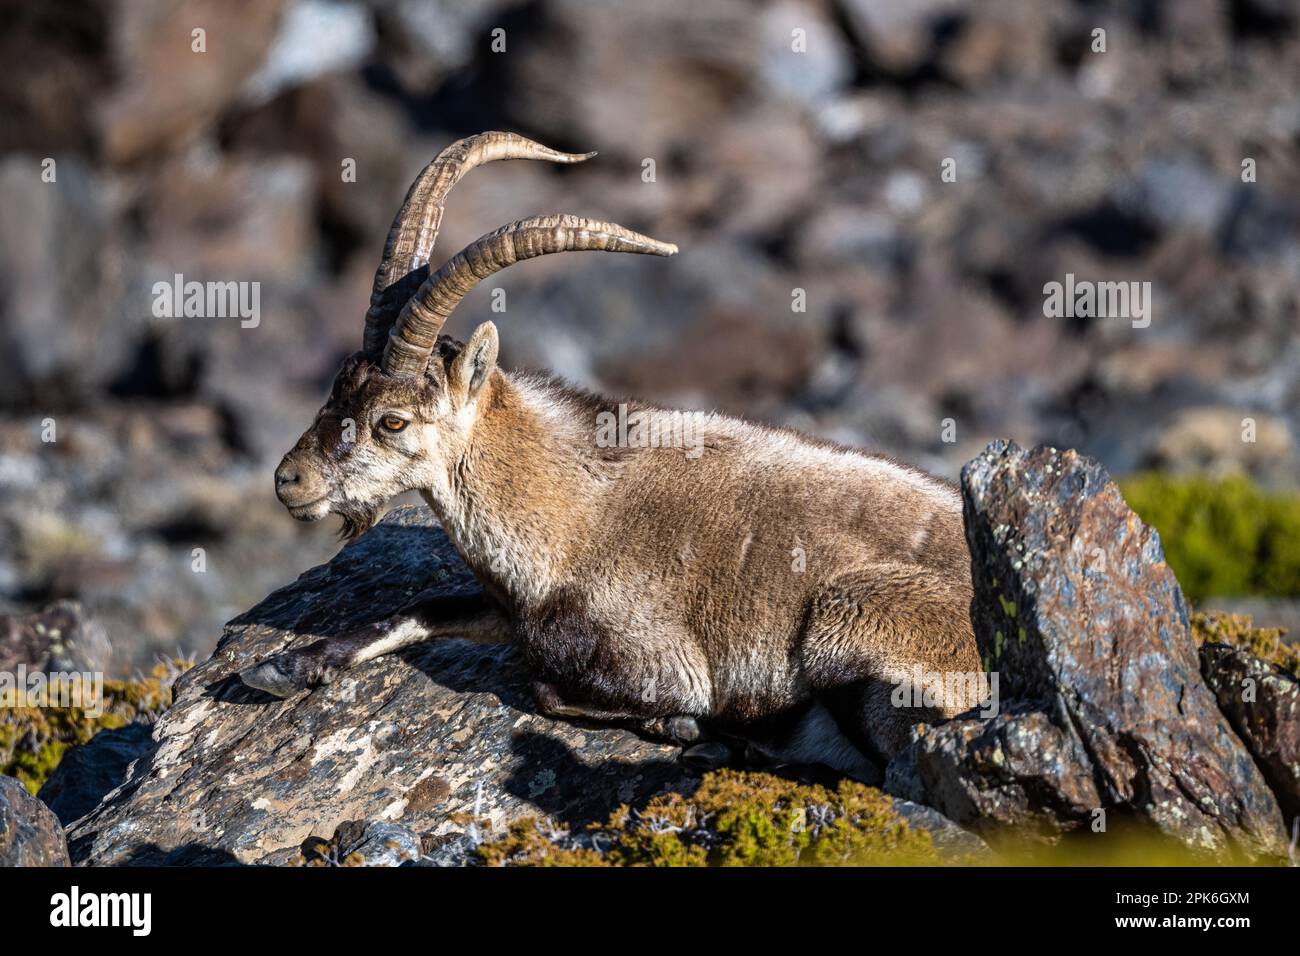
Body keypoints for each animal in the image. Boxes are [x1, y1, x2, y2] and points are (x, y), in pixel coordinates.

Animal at [240, 131, 979, 782]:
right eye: (337, 384)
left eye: (391, 420)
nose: (289, 480)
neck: (573, 510)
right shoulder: (512, 607)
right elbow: (422, 609)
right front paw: (282, 667)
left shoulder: (662, 660)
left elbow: (549, 687)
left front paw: (684, 724)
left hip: (851, 622)